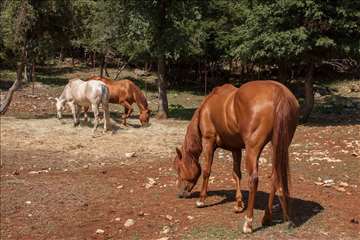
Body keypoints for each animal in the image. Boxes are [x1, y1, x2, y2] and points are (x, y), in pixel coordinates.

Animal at [173, 80, 300, 232]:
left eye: (178, 168)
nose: (180, 193)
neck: (207, 107)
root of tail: (278, 92)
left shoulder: (209, 141)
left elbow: (206, 171)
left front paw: (201, 200)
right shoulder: (236, 148)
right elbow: (236, 174)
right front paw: (238, 205)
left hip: (253, 149)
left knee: (254, 179)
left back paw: (248, 223)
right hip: (279, 145)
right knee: (275, 177)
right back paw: (266, 218)